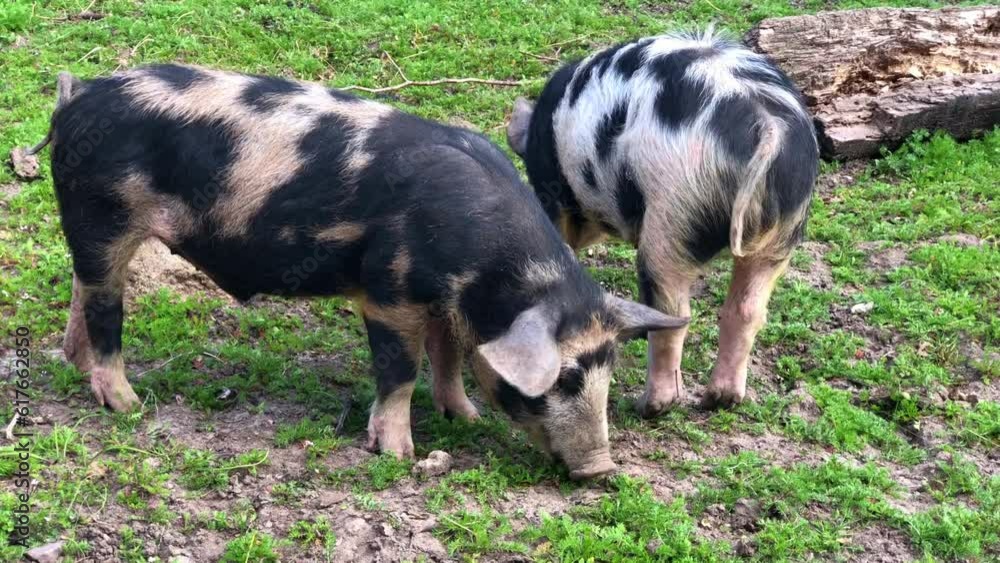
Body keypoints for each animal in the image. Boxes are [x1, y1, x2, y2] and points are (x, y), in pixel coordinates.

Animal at [33, 65, 688, 479]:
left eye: (607, 370)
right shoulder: (389, 293)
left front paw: (463, 415)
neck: (484, 274)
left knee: (82, 286)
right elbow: (400, 370)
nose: (600, 470)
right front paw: (399, 456)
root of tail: (76, 100)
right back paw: (128, 405)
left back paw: (75, 364)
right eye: (565, 378)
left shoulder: (443, 302)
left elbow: (447, 356)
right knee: (104, 303)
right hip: (103, 212)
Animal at [506, 29, 818, 417]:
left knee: (673, 313)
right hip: (784, 228)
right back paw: (721, 400)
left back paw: (650, 405)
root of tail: (766, 128)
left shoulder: (555, 191)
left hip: (674, 212)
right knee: (747, 310)